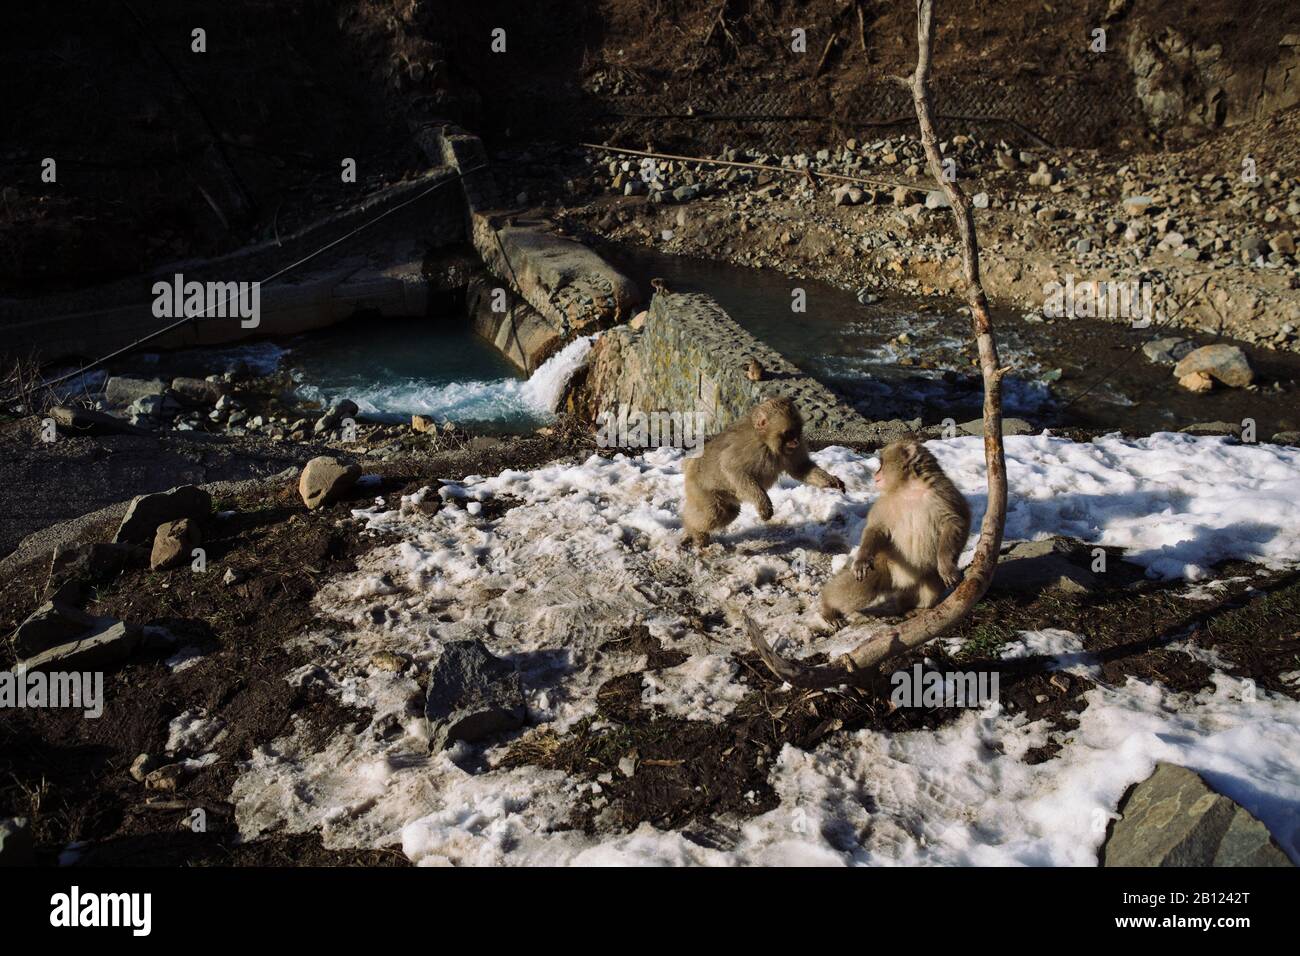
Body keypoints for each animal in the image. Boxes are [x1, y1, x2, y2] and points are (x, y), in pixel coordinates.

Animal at [681, 396, 845, 547]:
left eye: (797, 431)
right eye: (788, 433)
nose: (796, 442)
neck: (766, 442)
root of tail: (690, 465)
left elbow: (801, 468)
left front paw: (831, 481)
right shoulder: (751, 448)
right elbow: (732, 468)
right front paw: (764, 505)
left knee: (728, 513)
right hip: (699, 488)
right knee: (713, 512)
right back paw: (693, 530)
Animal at [820, 439, 971, 628]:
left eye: (882, 464)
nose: (876, 474)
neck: (909, 489)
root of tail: (900, 582)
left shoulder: (943, 494)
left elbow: (955, 524)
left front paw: (947, 566)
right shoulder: (884, 502)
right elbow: (876, 528)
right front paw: (862, 559)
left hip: (924, 575)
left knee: (929, 589)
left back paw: (910, 610)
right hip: (884, 562)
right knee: (860, 588)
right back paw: (828, 606)